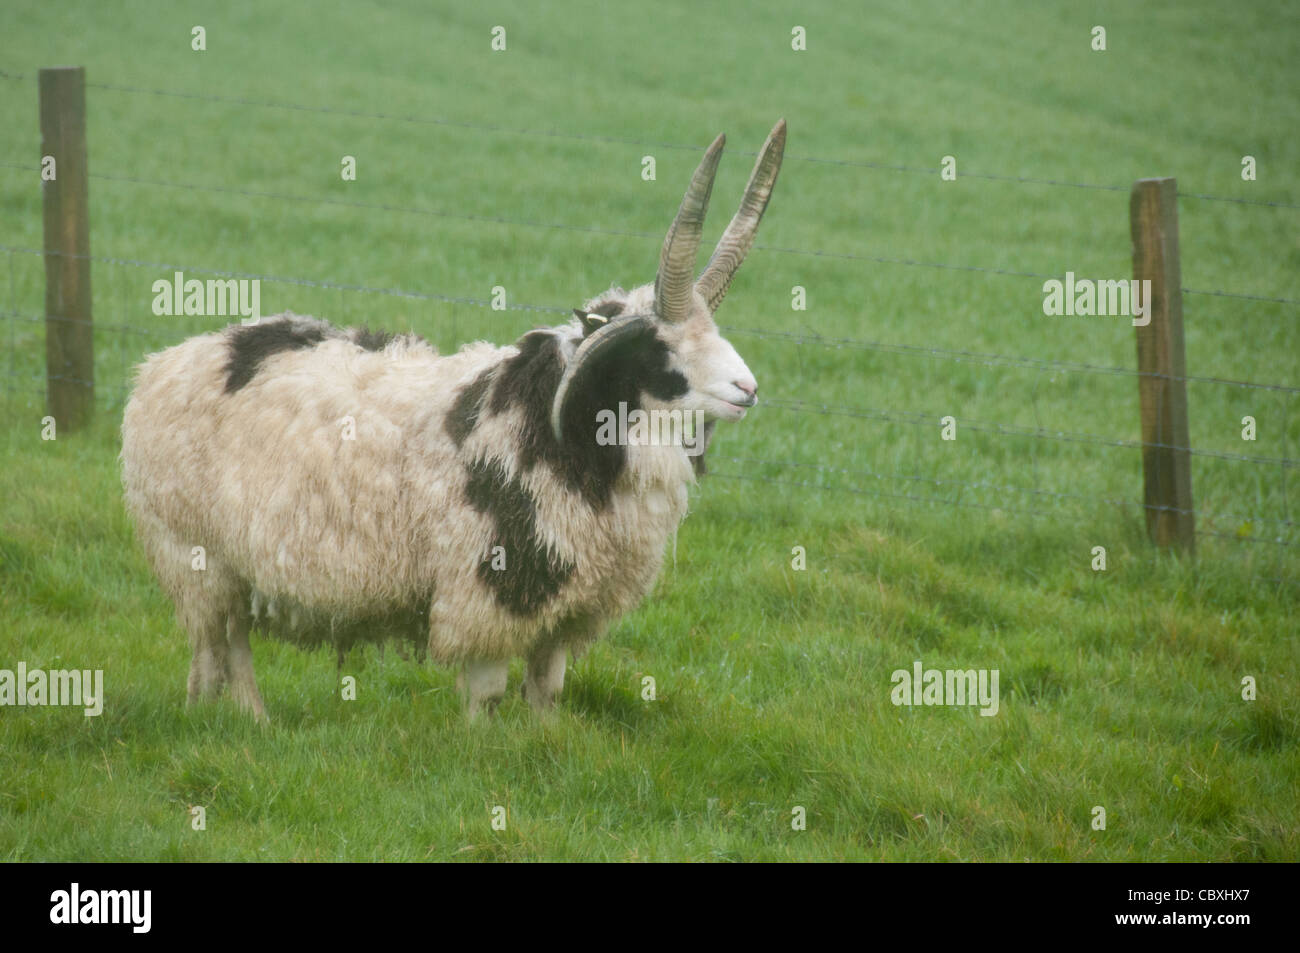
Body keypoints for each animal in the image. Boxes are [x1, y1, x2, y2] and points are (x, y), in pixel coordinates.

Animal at [120, 120, 786, 720]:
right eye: (658, 348)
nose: (748, 389)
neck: (555, 429)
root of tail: (165, 363)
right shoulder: (487, 591)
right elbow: (488, 692)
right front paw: (482, 747)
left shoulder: (567, 599)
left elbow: (547, 691)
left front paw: (543, 744)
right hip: (199, 557)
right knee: (230, 645)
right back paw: (254, 721)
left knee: (215, 650)